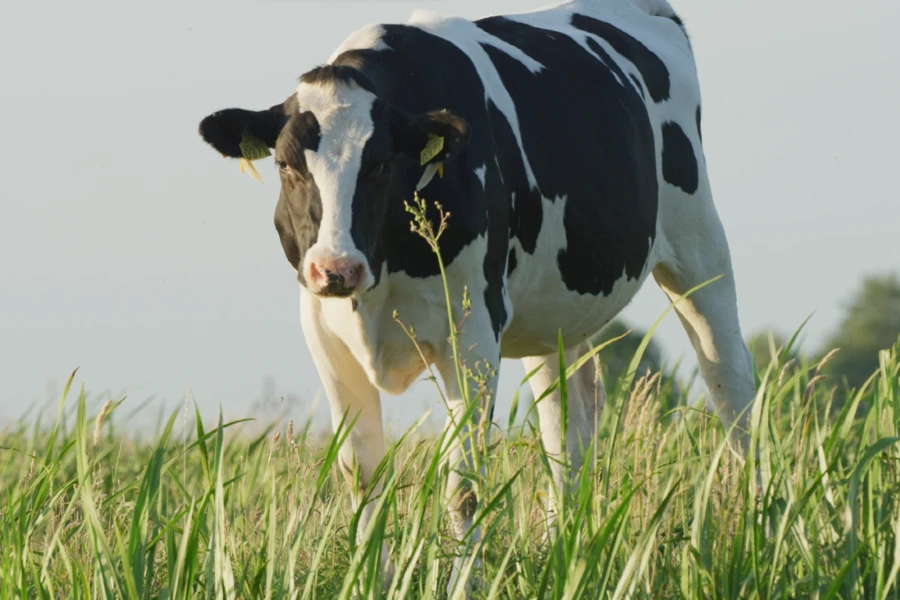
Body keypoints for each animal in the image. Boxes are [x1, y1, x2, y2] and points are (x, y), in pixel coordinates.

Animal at [197, 0, 757, 593]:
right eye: (286, 166)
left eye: (380, 165)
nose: (336, 268)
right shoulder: (327, 339)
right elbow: (362, 475)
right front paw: (371, 582)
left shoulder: (472, 335)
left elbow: (463, 485)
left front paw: (463, 585)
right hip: (556, 316)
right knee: (568, 429)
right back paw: (561, 553)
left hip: (699, 245)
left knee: (731, 388)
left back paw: (753, 527)